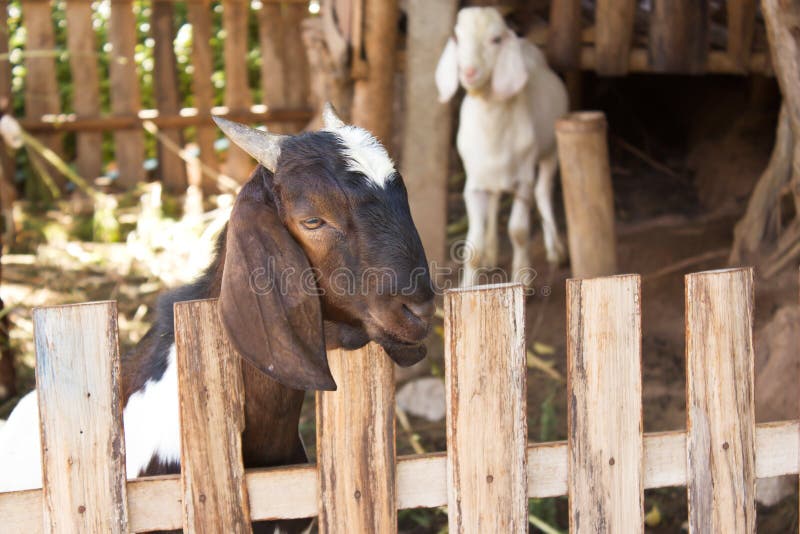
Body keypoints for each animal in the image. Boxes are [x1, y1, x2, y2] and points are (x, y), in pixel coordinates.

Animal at [436, 7, 568, 286]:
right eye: (458, 37)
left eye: (496, 39)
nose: (469, 72)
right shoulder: (473, 185)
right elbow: (472, 245)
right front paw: (467, 286)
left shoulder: (523, 181)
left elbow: (518, 231)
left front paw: (523, 279)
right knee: (495, 200)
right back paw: (491, 253)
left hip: (551, 151)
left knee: (543, 192)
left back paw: (555, 250)